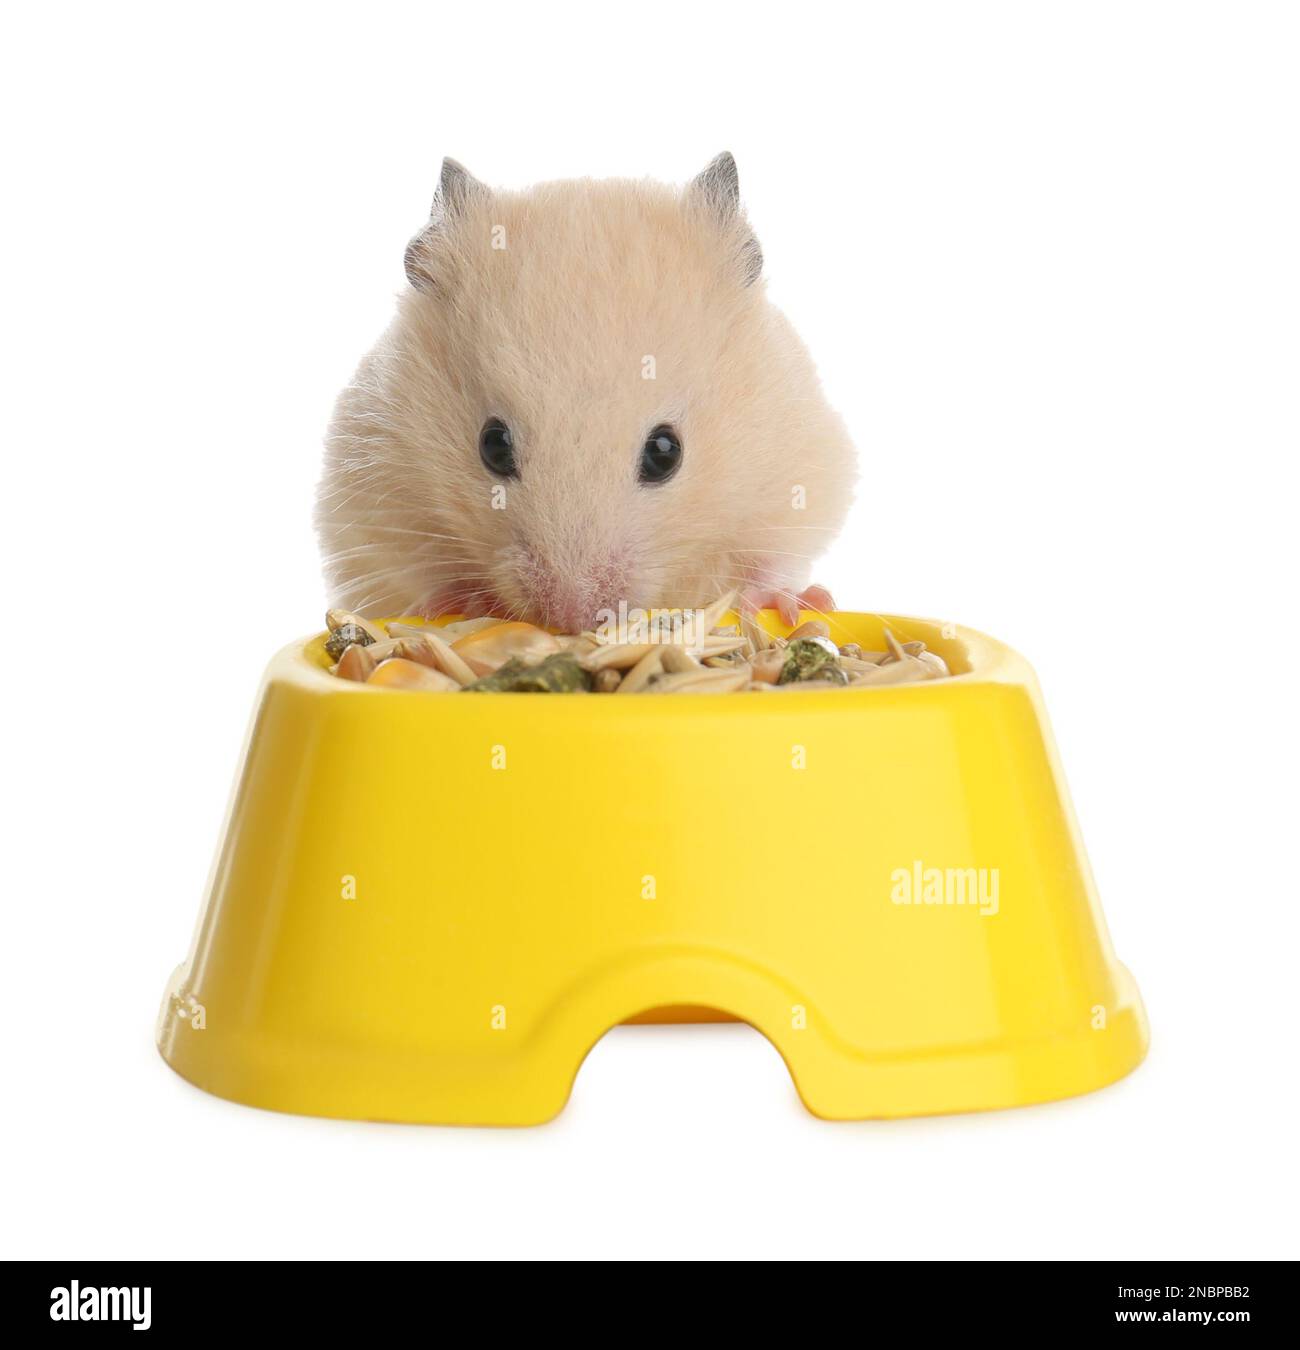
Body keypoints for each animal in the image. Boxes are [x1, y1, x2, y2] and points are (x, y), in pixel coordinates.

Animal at [316, 153, 856, 630]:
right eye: (493, 445)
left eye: (666, 452)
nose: (571, 618)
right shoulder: (374, 489)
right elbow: (418, 568)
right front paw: (461, 603)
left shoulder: (795, 472)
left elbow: (773, 557)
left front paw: (793, 604)